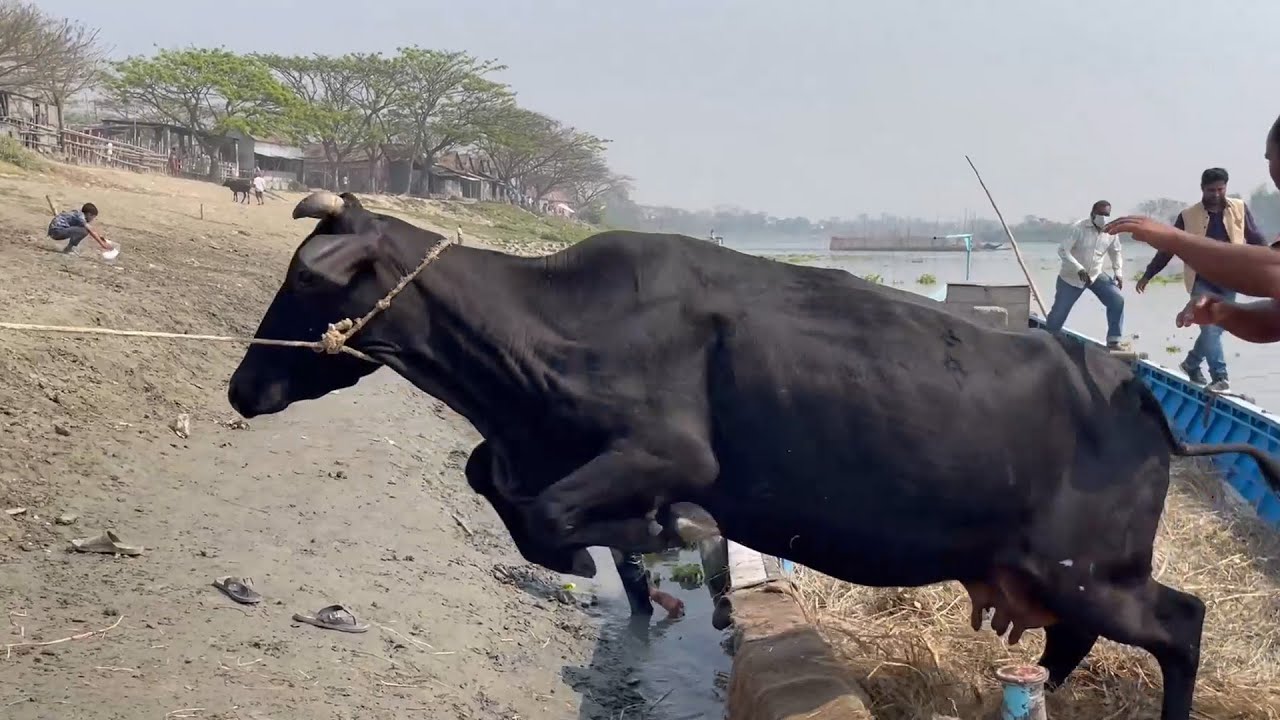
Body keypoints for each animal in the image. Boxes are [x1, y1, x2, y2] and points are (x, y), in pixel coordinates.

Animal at [227, 191, 1280, 720]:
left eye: (304, 280)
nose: (241, 387)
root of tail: (1137, 392)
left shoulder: (671, 451)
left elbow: (564, 512)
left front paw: (659, 536)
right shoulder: (532, 447)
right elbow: (496, 482)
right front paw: (633, 557)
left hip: (1092, 570)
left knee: (1182, 623)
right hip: (1052, 578)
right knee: (1076, 646)